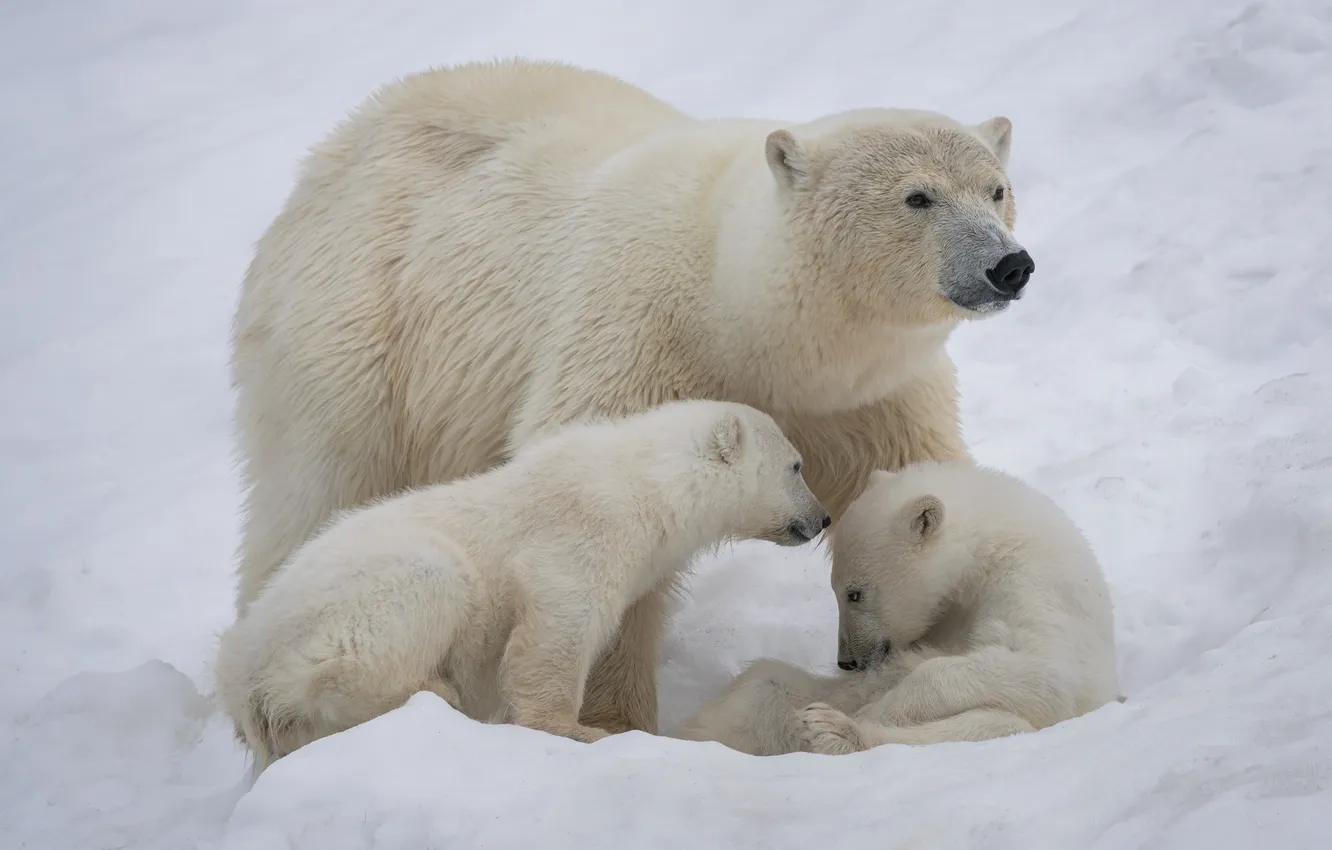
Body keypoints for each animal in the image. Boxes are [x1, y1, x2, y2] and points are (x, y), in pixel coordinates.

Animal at [213, 399, 829, 770]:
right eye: (797, 466)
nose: (822, 518)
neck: (648, 484)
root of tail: (244, 680)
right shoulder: (586, 526)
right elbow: (560, 623)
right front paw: (577, 730)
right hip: (350, 609)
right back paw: (434, 690)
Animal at [230, 57, 1035, 736]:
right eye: (917, 196)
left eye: (996, 188)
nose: (1008, 265)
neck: (740, 314)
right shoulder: (636, 333)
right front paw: (613, 721)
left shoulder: (871, 397)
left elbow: (921, 487)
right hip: (357, 331)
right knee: (316, 488)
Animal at [676, 460, 1120, 756]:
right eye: (835, 590)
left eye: (854, 593)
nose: (847, 661)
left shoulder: (1033, 586)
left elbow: (1042, 669)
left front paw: (878, 710)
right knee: (765, 681)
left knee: (995, 725)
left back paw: (833, 731)